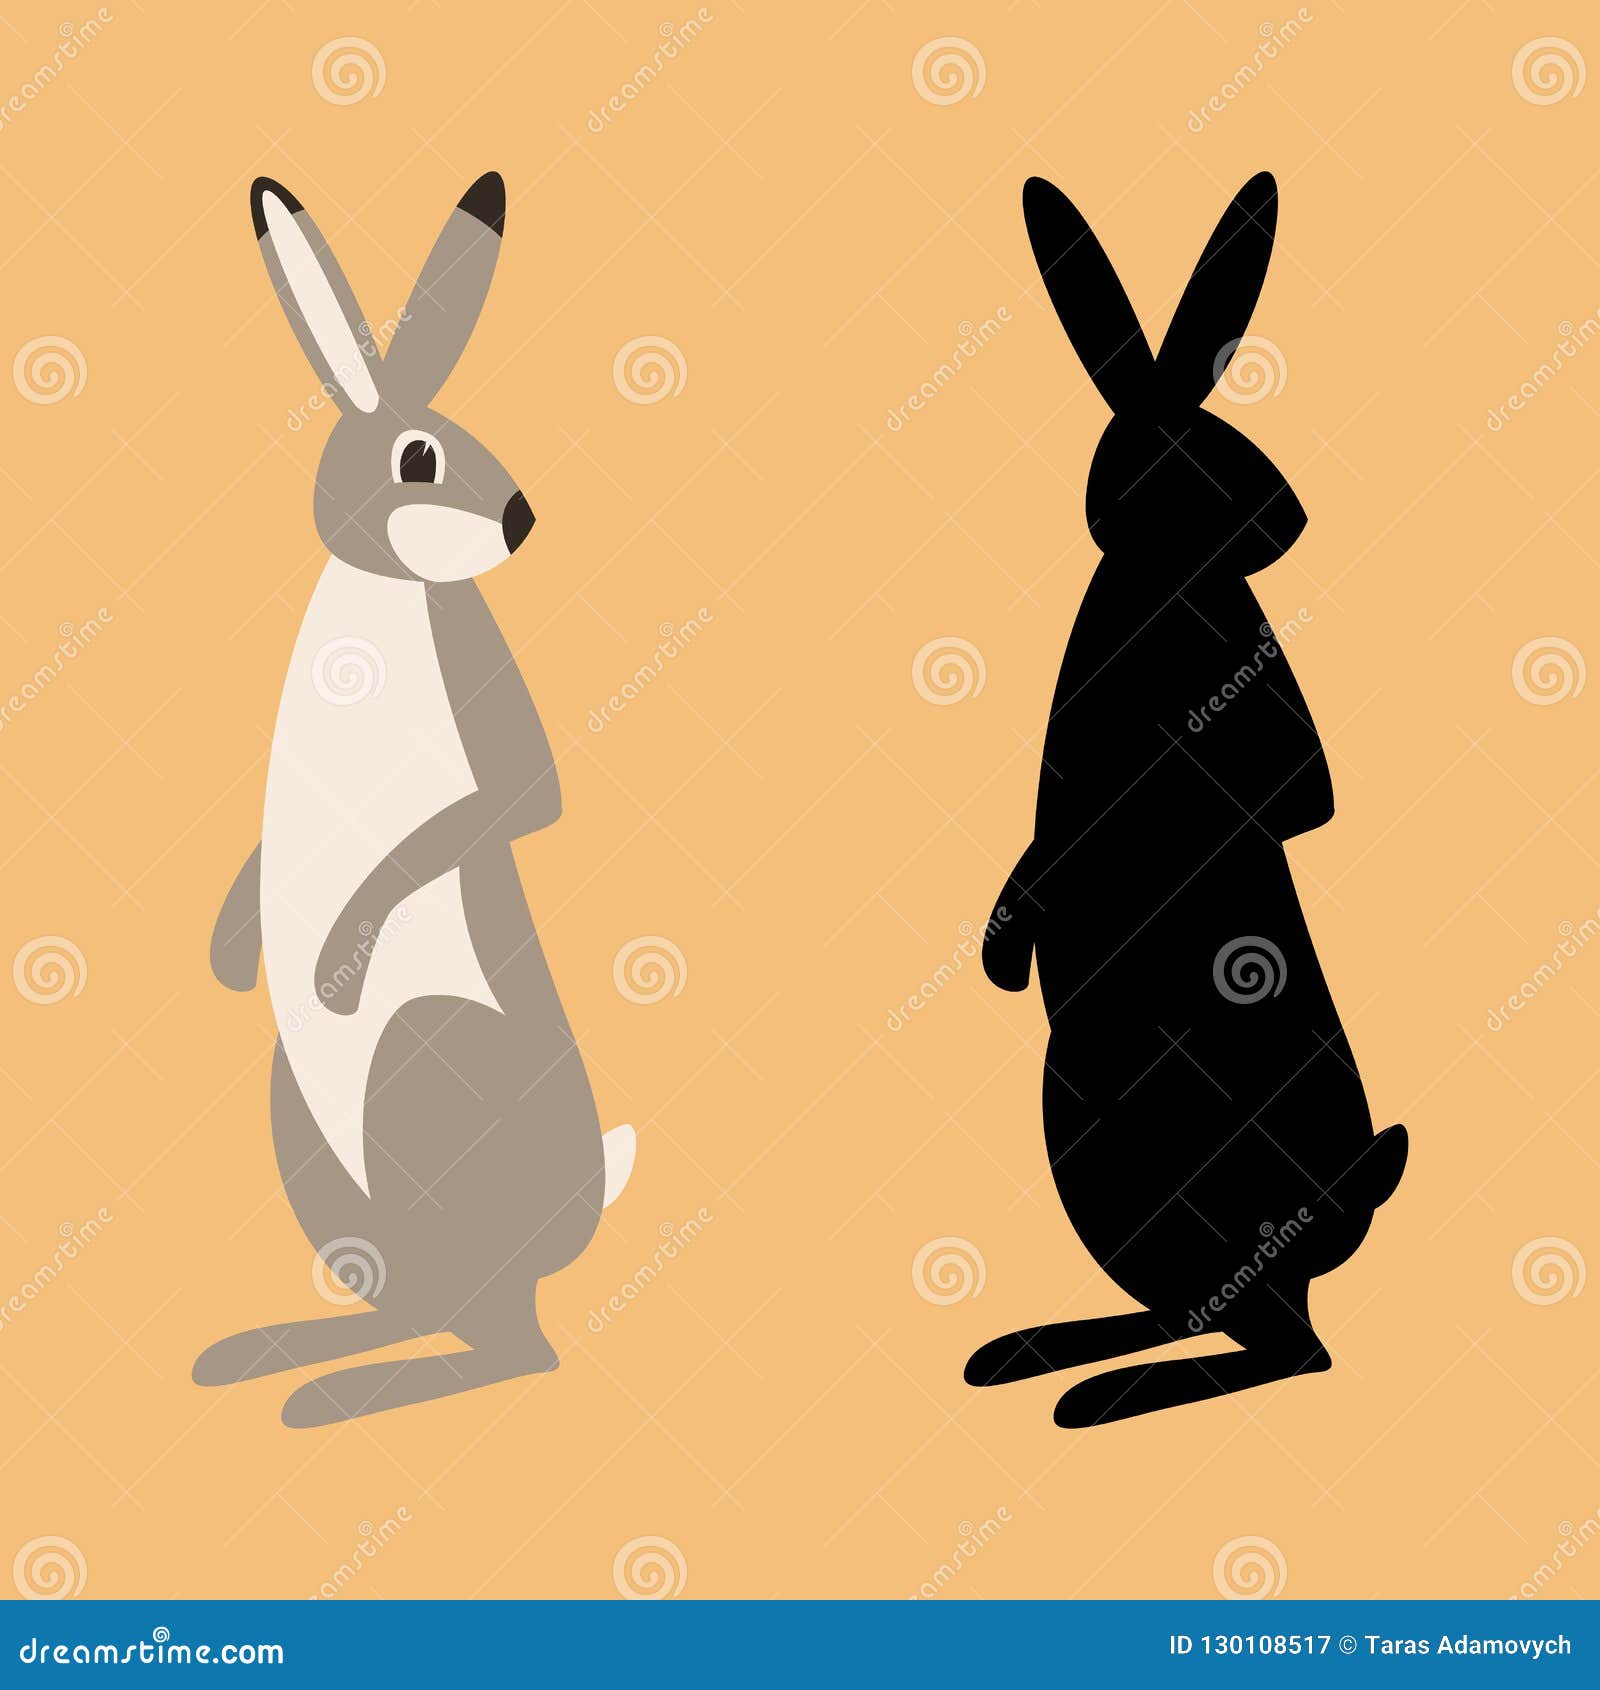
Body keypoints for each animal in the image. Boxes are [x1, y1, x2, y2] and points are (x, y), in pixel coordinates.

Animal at [196, 171, 636, 1427]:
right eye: (420, 459)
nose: (523, 519)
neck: (381, 585)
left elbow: (501, 806)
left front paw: (334, 962)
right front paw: (236, 959)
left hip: (424, 1052)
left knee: (512, 1349)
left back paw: (346, 1392)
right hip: (304, 1124)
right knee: (417, 1297)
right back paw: (276, 1359)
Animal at [964, 173, 1407, 1427]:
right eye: (1185, 443)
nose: (1288, 516)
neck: (1166, 579)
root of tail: (1342, 1214)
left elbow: (1267, 797)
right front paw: (1002, 948)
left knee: (1291, 1351)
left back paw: (1099, 1393)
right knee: (1227, 1322)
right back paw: (1036, 1355)